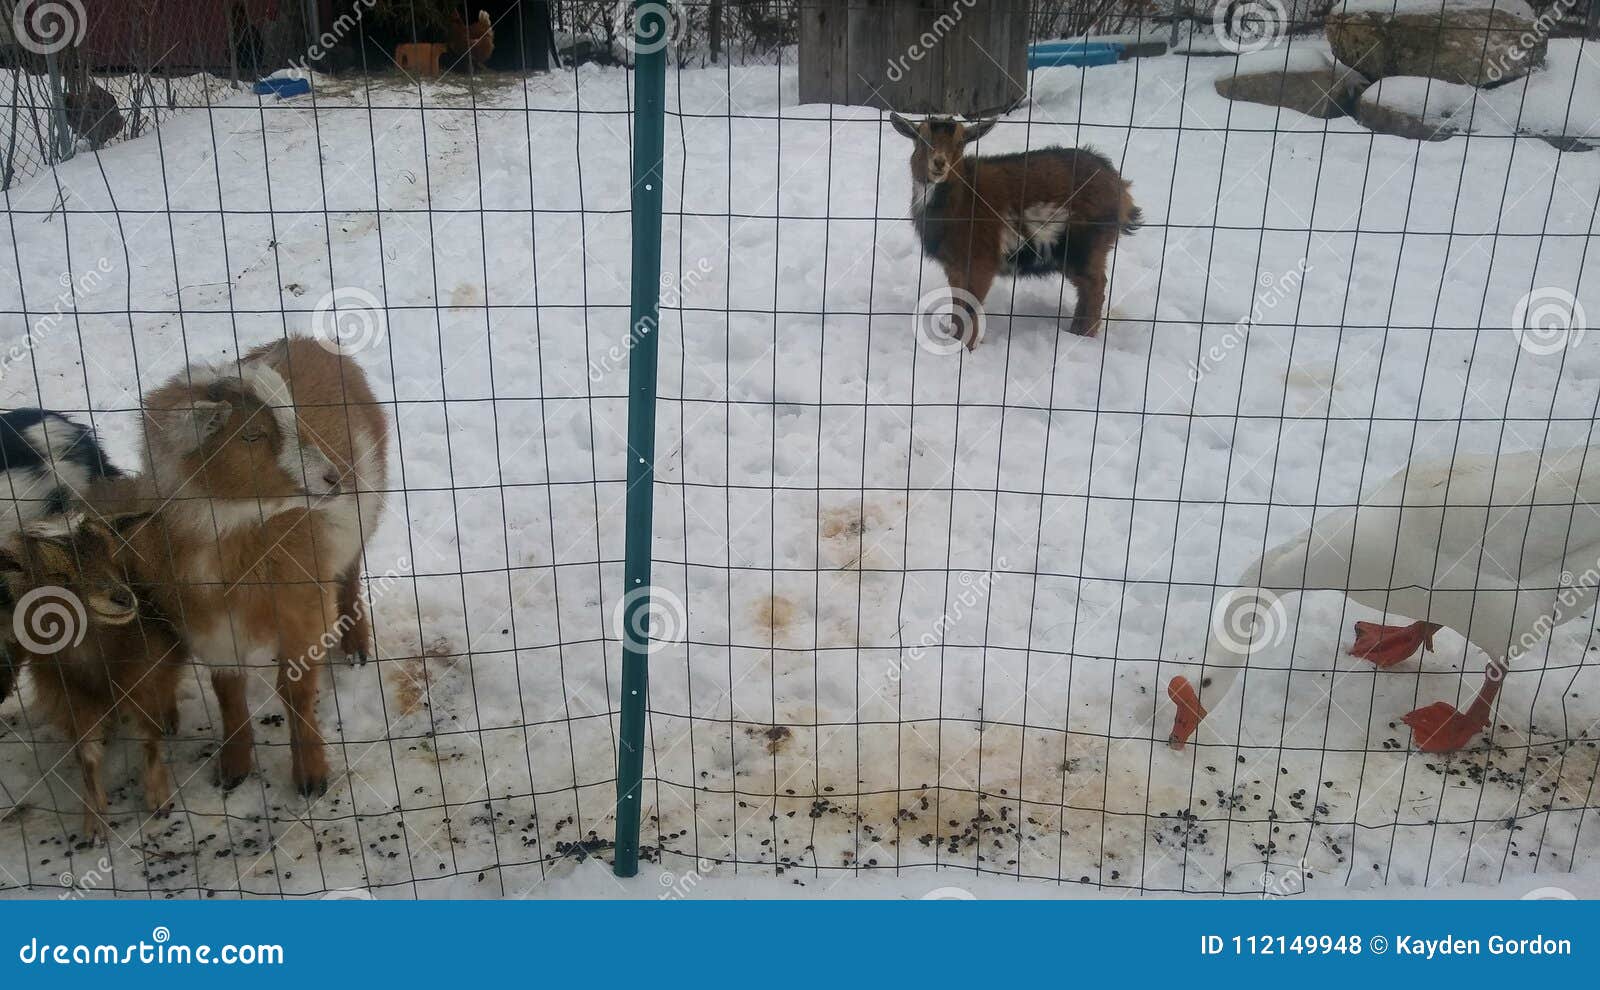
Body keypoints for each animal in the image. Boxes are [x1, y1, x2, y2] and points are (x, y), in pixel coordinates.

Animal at [0, 512, 184, 841]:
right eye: (59, 577)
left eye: (111, 556)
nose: (124, 598)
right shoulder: (70, 697)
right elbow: (87, 757)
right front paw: (95, 822)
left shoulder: (146, 674)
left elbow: (149, 737)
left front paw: (159, 799)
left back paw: (170, 718)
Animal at [139, 337, 388, 796]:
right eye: (250, 434)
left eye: (294, 416)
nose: (332, 478)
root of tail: (307, 338)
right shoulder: (211, 629)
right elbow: (228, 694)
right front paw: (233, 767)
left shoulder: (302, 612)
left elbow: (296, 692)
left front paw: (311, 776)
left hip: (364, 517)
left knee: (349, 576)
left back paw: (356, 645)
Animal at [889, 114, 1142, 349]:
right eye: (921, 138)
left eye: (961, 142)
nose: (939, 163)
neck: (964, 198)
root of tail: (1120, 188)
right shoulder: (955, 267)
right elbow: (957, 306)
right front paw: (955, 341)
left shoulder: (981, 262)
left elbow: (970, 309)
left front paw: (966, 350)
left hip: (1086, 246)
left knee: (1095, 286)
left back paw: (1081, 334)